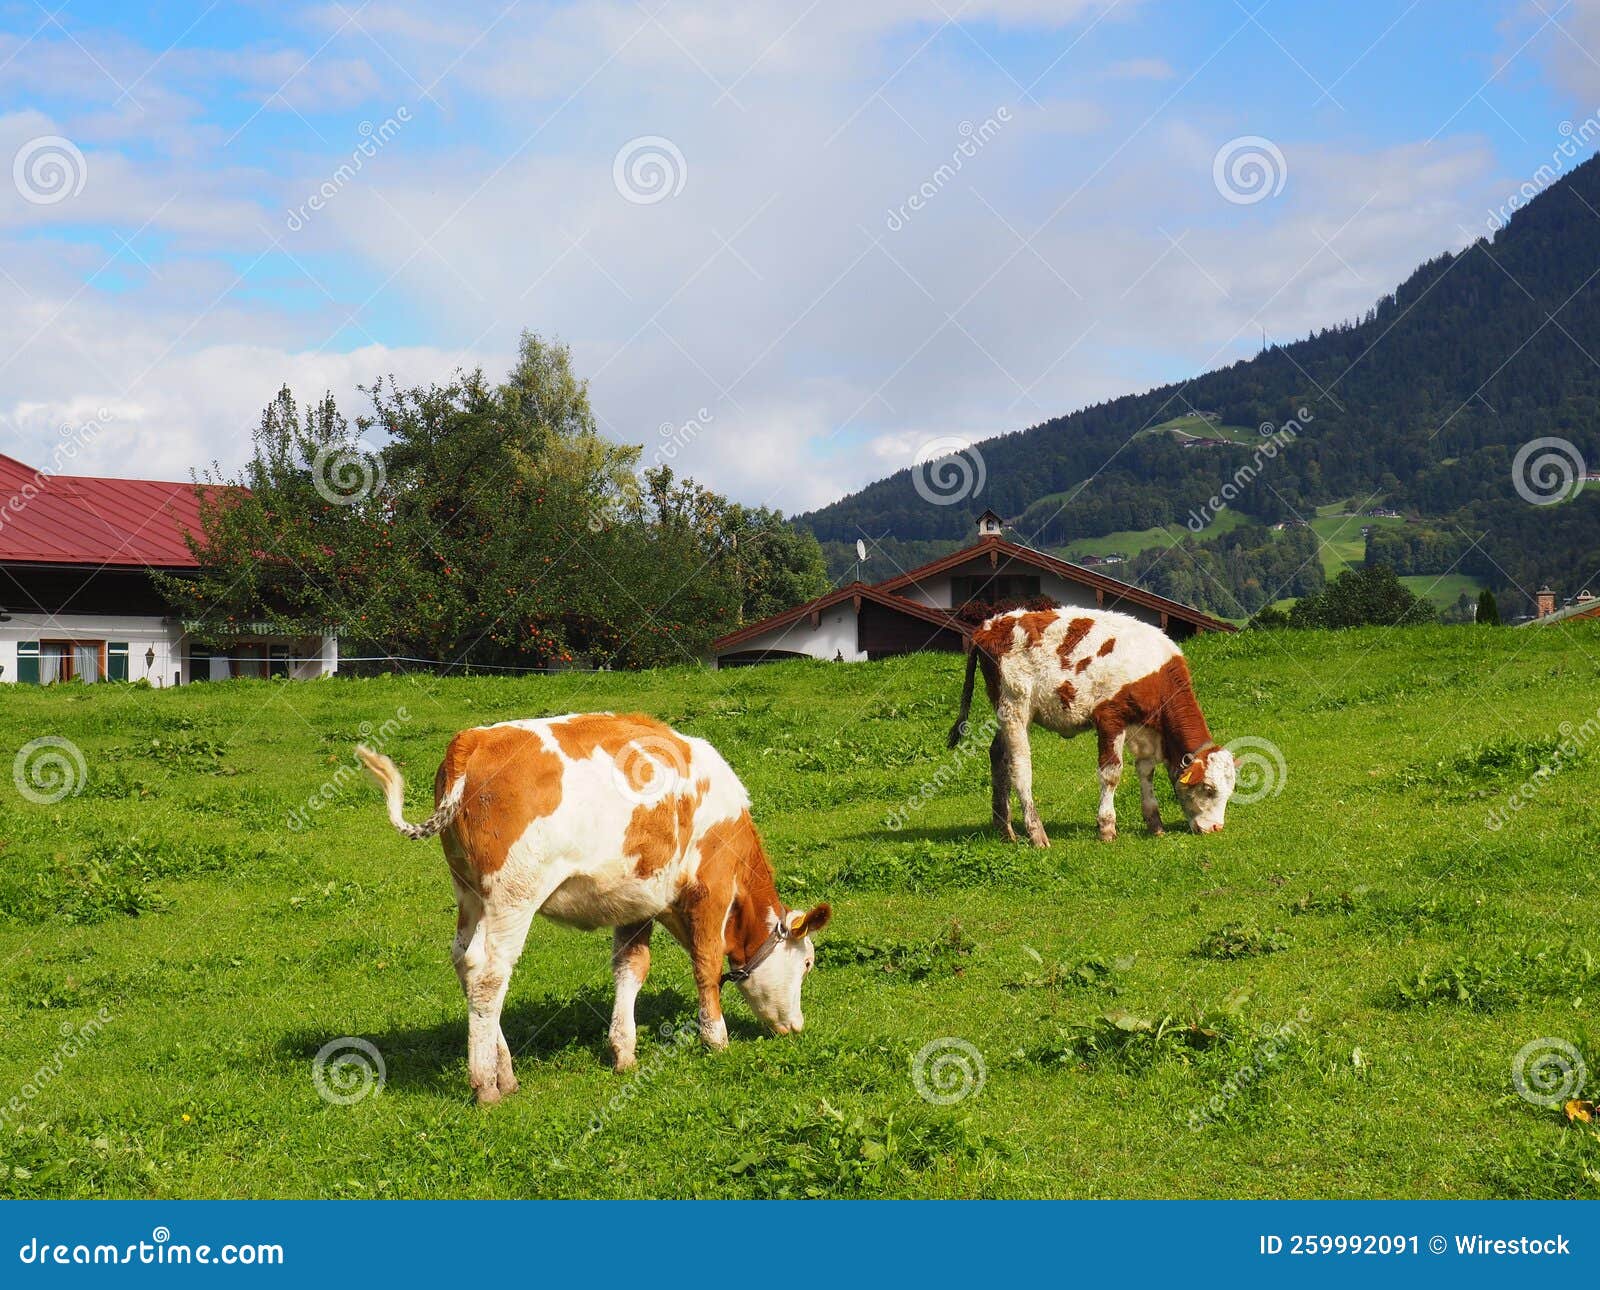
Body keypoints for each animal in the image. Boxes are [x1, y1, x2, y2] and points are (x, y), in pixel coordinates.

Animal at [357, 712, 831, 1105]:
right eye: (807, 963)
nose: (797, 1026)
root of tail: (471, 741)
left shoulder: (638, 898)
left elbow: (631, 967)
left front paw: (623, 1049)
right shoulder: (710, 887)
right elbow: (707, 964)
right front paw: (716, 1038)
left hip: (469, 893)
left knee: (466, 964)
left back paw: (504, 1071)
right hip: (514, 895)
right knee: (490, 977)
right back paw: (486, 1085)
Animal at [947, 607, 1237, 846]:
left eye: (1229, 790)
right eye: (1208, 789)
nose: (1216, 828)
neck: (1155, 673)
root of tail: (991, 625)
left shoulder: (1145, 729)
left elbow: (1146, 771)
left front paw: (1155, 823)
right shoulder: (1110, 717)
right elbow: (1111, 774)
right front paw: (1107, 828)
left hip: (1005, 714)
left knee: (997, 755)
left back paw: (1004, 829)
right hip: (1015, 708)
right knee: (1019, 767)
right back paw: (1036, 833)